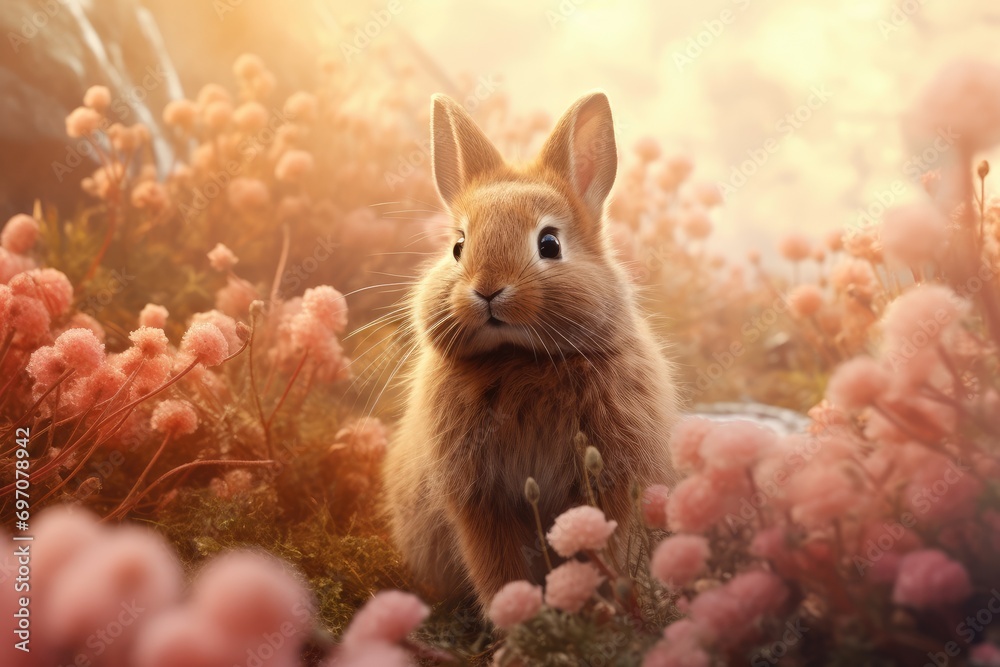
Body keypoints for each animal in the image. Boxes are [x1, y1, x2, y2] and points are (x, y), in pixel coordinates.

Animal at [383, 91, 680, 611]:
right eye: (458, 246)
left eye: (549, 243)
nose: (487, 289)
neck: (521, 358)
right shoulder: (480, 500)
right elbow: (497, 568)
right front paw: (517, 621)